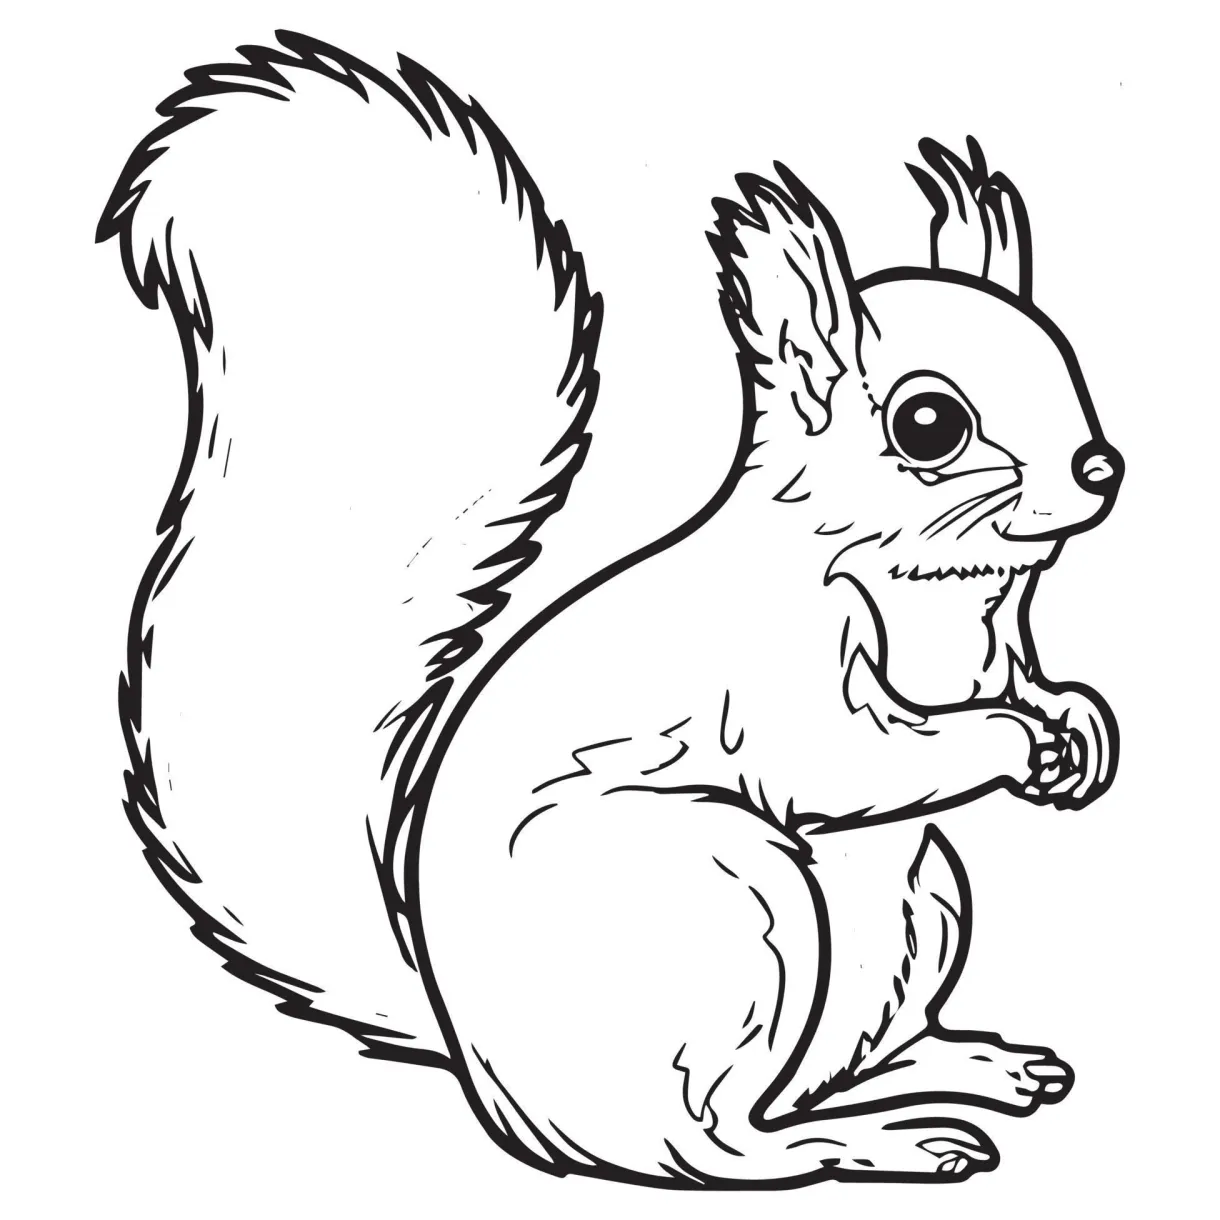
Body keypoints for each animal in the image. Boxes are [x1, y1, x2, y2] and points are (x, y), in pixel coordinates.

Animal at [101, 32, 1122, 1188]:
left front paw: (1077, 724)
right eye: (927, 423)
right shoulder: (777, 670)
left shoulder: (999, 640)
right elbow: (848, 760)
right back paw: (871, 1140)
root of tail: (490, 1078)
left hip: (924, 897)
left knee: (836, 1067)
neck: (935, 589)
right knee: (714, 1140)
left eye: (1062, 355)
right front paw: (1010, 741)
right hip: (733, 905)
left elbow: (1023, 681)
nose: (1101, 467)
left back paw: (968, 1066)